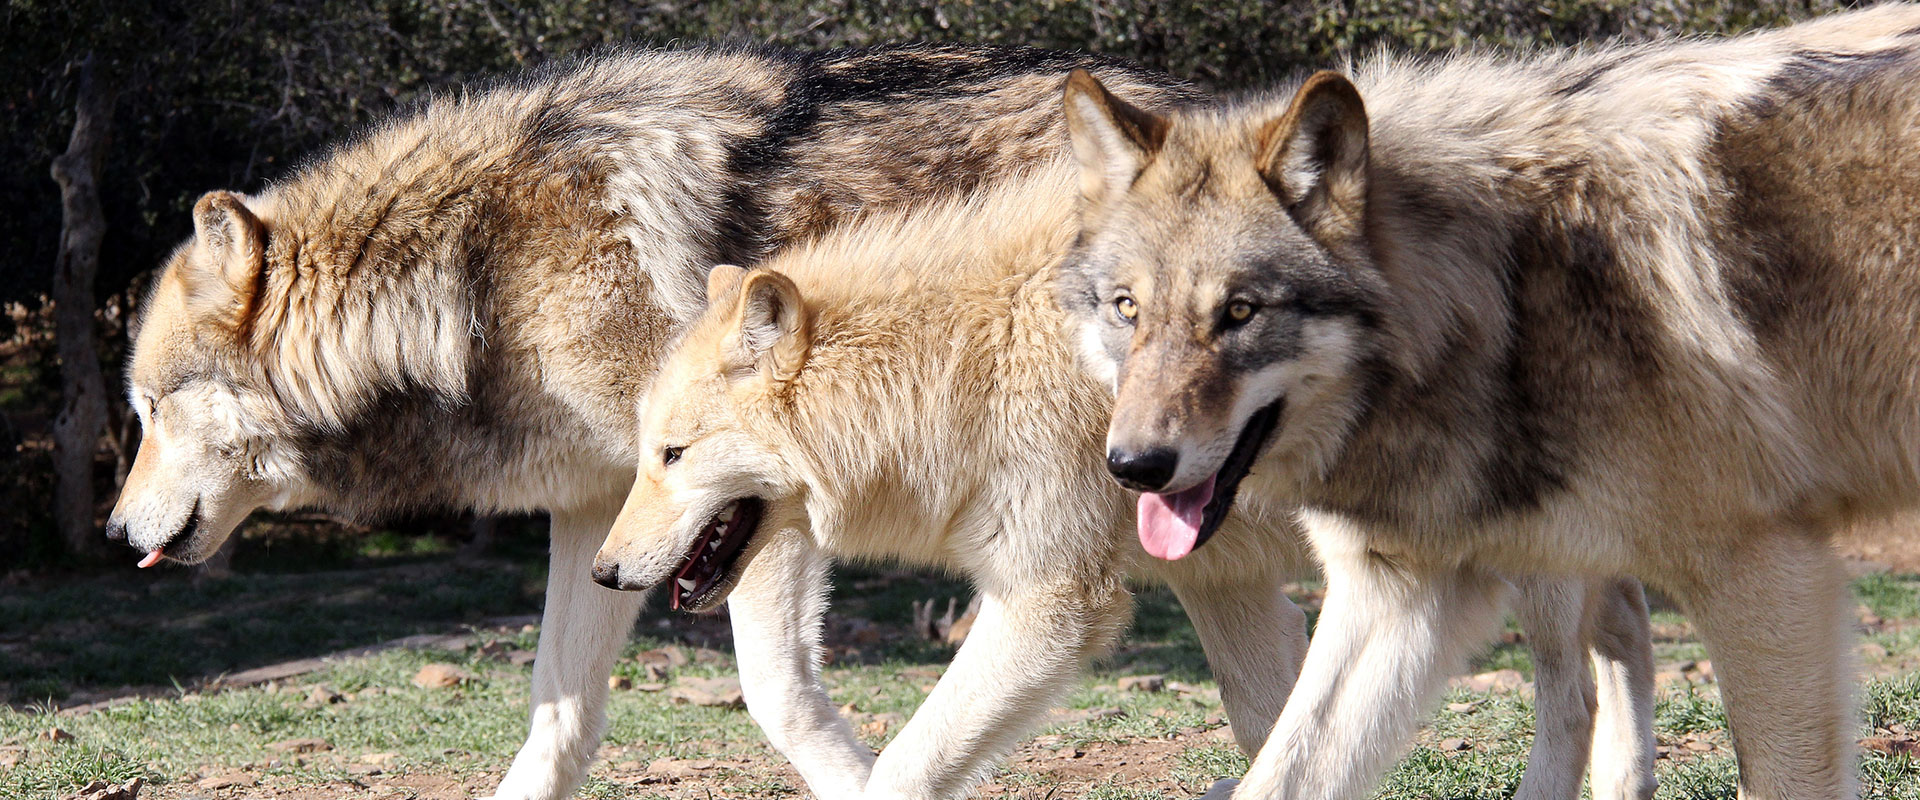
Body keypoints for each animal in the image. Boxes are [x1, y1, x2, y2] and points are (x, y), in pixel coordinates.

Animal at [102, 44, 1199, 800]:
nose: (111, 533)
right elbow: (557, 710)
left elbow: (779, 696)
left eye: (150, 406)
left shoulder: (754, 497)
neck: (479, 277)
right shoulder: (601, 510)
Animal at [591, 162, 1658, 800]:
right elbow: (1282, 727)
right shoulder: (1220, 579)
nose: (603, 572)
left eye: (672, 455)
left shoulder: (1052, 603)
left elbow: (904, 767)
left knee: (1574, 694)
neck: (966, 359)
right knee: (1625, 636)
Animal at [1059, 5, 1920, 799]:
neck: (1507, 296)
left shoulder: (1768, 571)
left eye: (1240, 312)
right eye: (1128, 309)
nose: (1133, 466)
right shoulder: (1397, 592)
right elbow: (1280, 774)